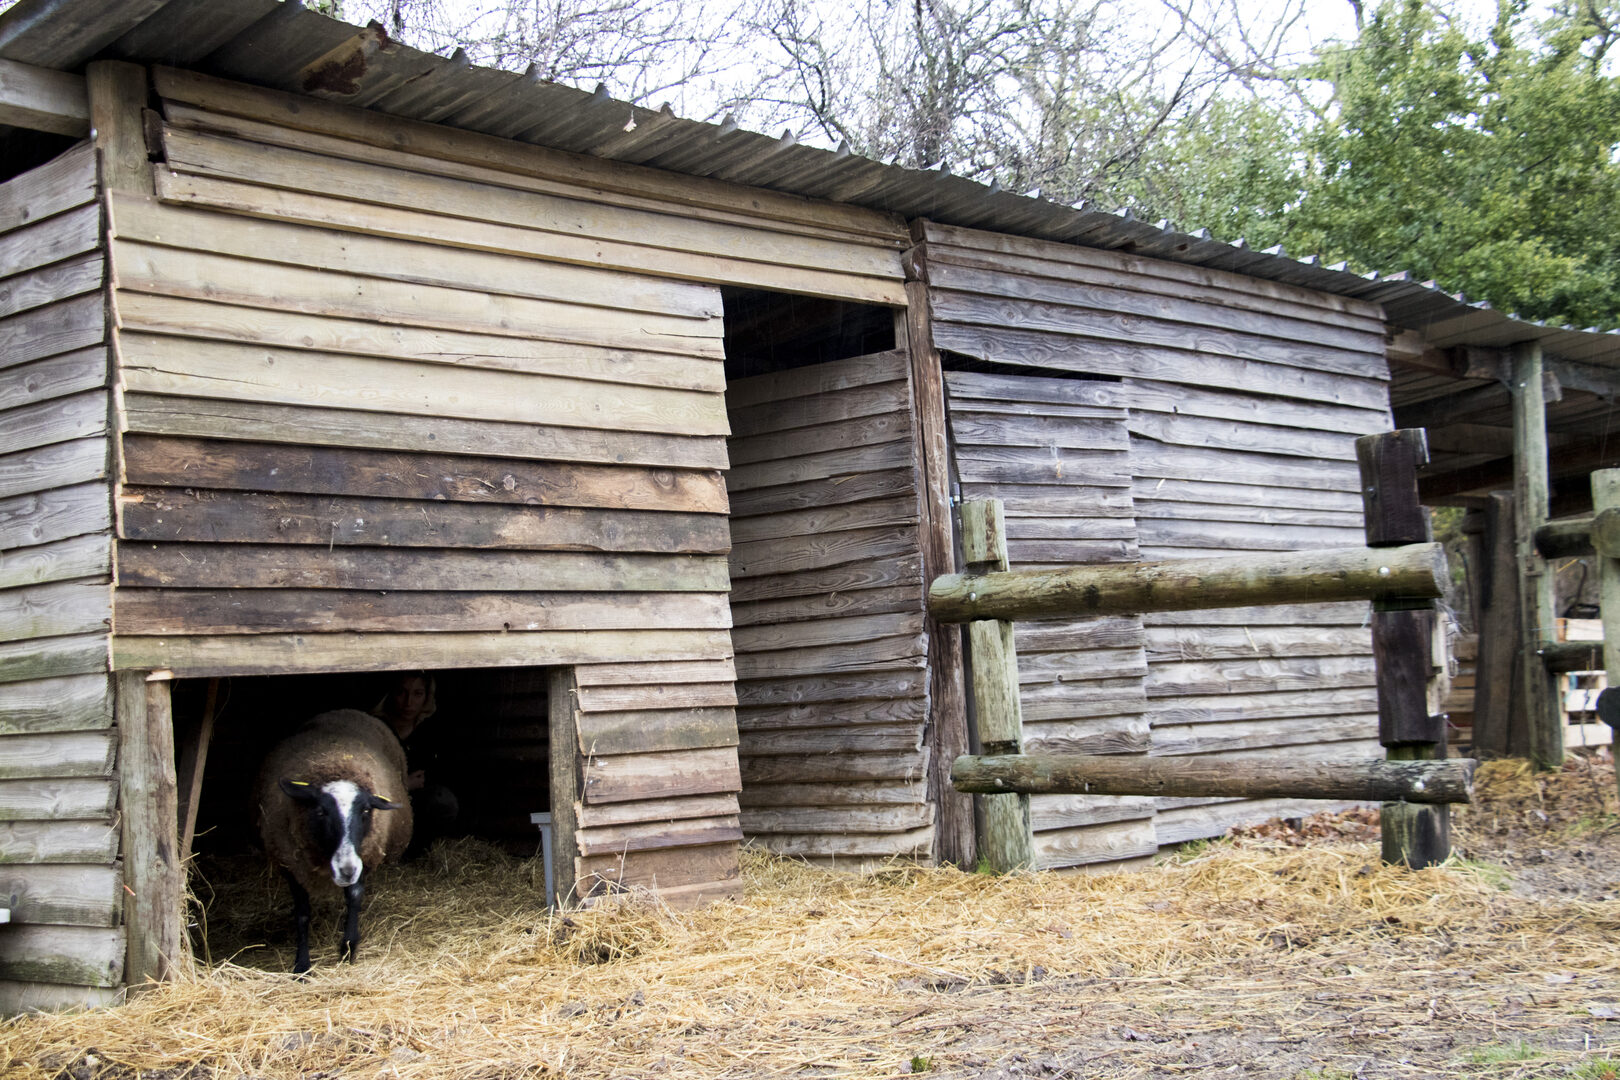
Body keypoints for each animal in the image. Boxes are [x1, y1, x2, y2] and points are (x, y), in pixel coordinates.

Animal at [254, 712, 414, 977]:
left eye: (366, 810)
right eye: (320, 811)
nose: (347, 869)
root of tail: (346, 710)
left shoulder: (365, 857)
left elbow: (354, 897)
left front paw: (348, 948)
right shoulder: (291, 865)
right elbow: (302, 913)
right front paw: (301, 965)